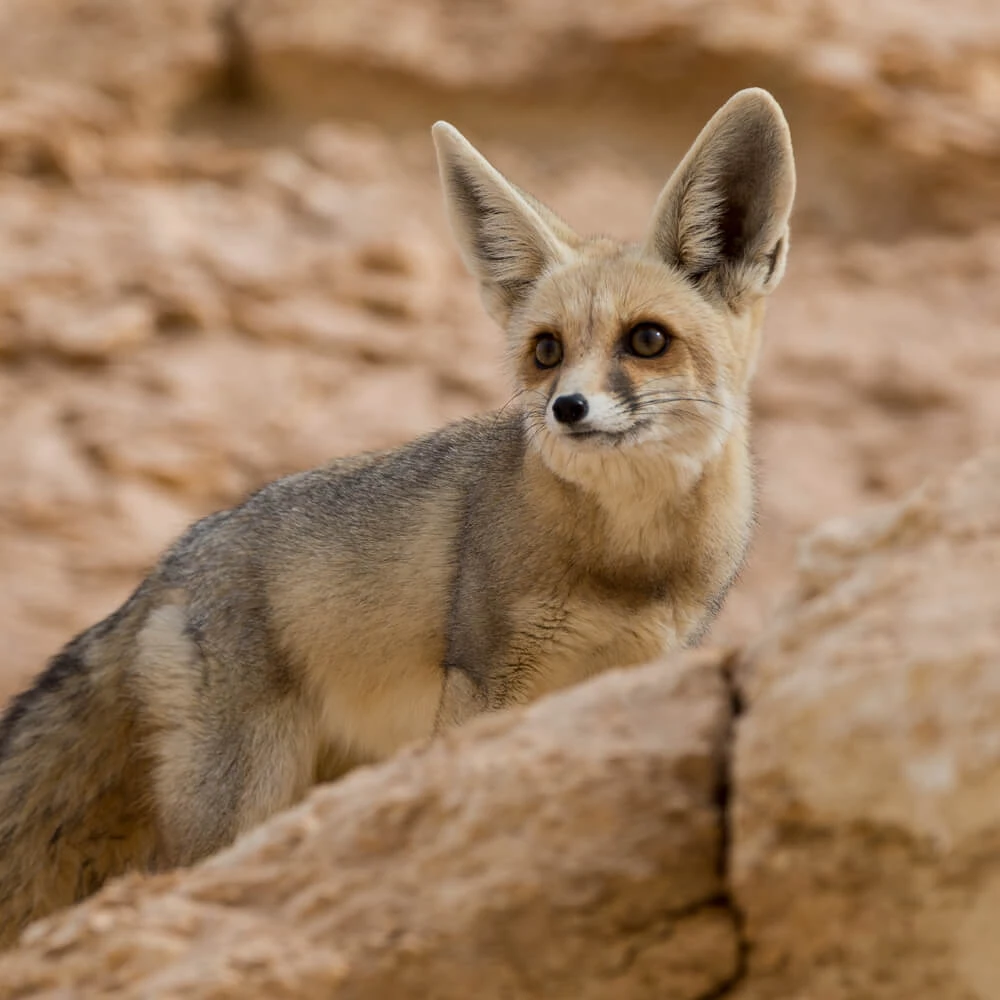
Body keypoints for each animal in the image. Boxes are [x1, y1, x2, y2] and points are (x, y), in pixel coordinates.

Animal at [0, 88, 794, 945]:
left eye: (648, 340)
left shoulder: (632, 672)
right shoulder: (488, 677)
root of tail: (169, 562)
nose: (567, 410)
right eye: (546, 351)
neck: (627, 561)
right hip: (246, 796)